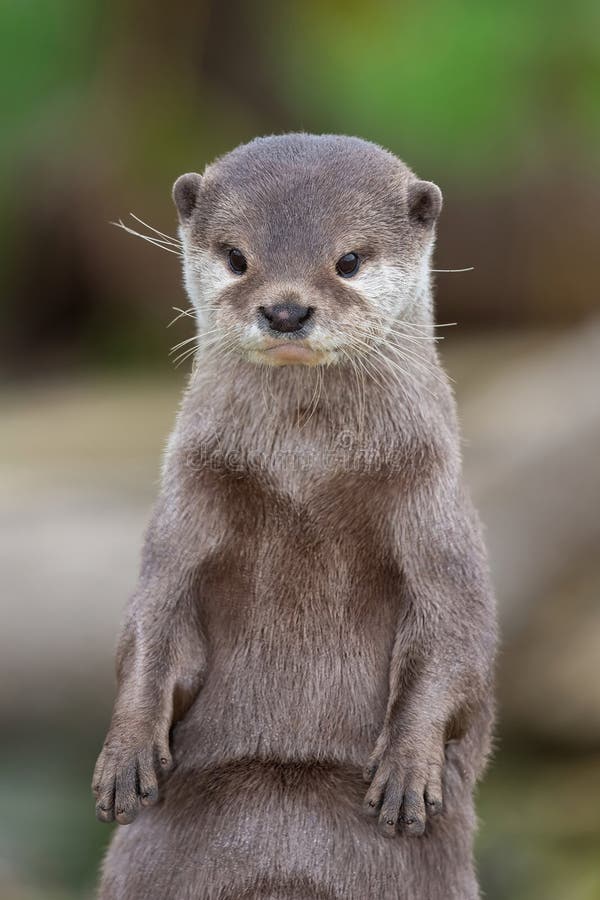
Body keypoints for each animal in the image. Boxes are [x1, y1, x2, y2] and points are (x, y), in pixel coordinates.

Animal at [93, 133, 496, 900]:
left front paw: (408, 768)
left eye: (349, 260)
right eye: (237, 256)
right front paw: (125, 752)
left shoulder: (435, 510)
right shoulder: (186, 505)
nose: (285, 310)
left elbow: (454, 635)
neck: (305, 478)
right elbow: (152, 622)